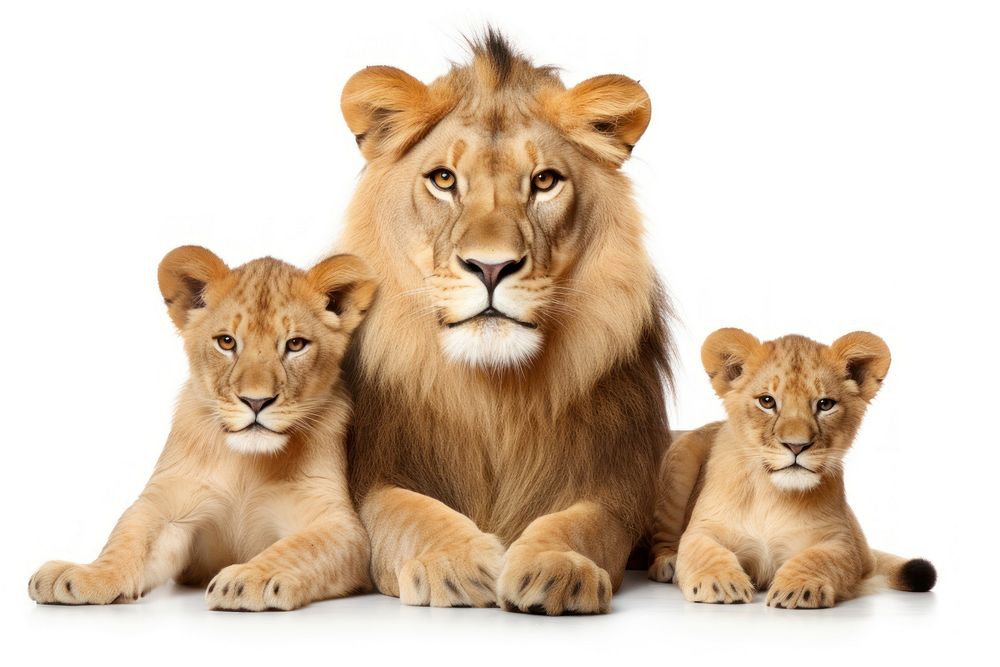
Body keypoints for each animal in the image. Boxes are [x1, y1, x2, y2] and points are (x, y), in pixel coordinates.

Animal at [28, 246, 376, 610]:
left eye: (295, 345)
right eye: (226, 342)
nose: (256, 401)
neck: (246, 466)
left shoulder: (341, 525)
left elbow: (300, 547)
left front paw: (249, 577)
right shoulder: (169, 506)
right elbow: (127, 537)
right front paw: (85, 574)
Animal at [334, 30, 672, 614]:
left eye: (545, 181)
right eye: (444, 179)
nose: (491, 267)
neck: (495, 397)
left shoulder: (615, 487)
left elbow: (584, 522)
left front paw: (558, 567)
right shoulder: (370, 479)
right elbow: (405, 511)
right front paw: (456, 560)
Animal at [648, 328, 936, 608]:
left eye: (825, 404)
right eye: (767, 401)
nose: (796, 446)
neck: (771, 493)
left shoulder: (839, 539)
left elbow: (822, 558)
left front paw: (800, 588)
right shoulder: (704, 527)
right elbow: (701, 549)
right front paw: (719, 582)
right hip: (680, 458)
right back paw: (667, 563)